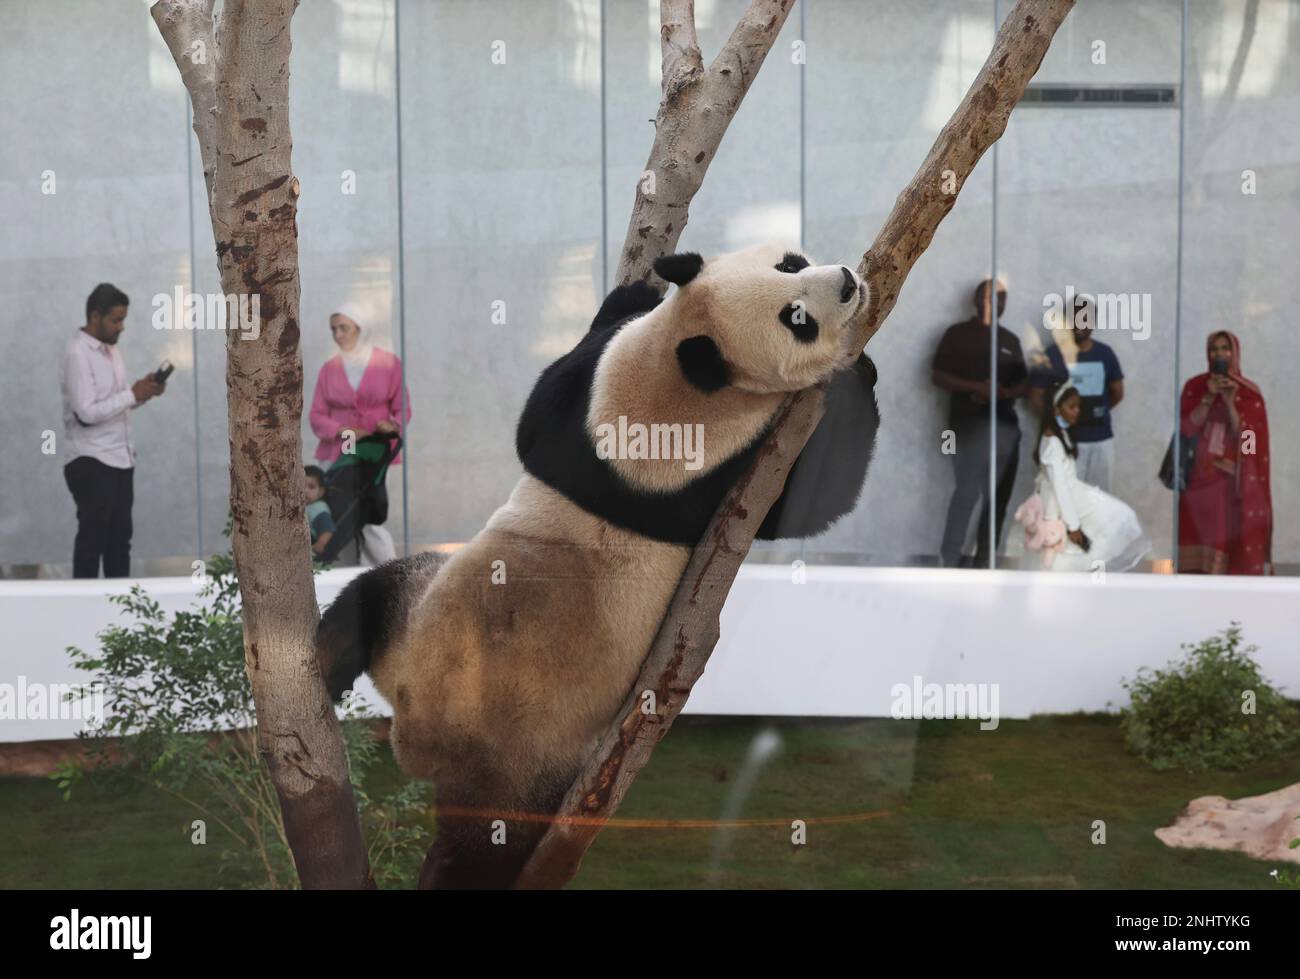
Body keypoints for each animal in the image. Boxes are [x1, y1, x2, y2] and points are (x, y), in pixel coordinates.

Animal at [316, 242, 880, 888]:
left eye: (792, 263)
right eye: (796, 317)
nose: (847, 282)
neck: (680, 366)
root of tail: (418, 737)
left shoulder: (585, 424)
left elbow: (535, 422)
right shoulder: (714, 469)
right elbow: (812, 504)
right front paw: (857, 380)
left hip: (415, 624)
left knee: (366, 602)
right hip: (516, 764)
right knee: (485, 848)